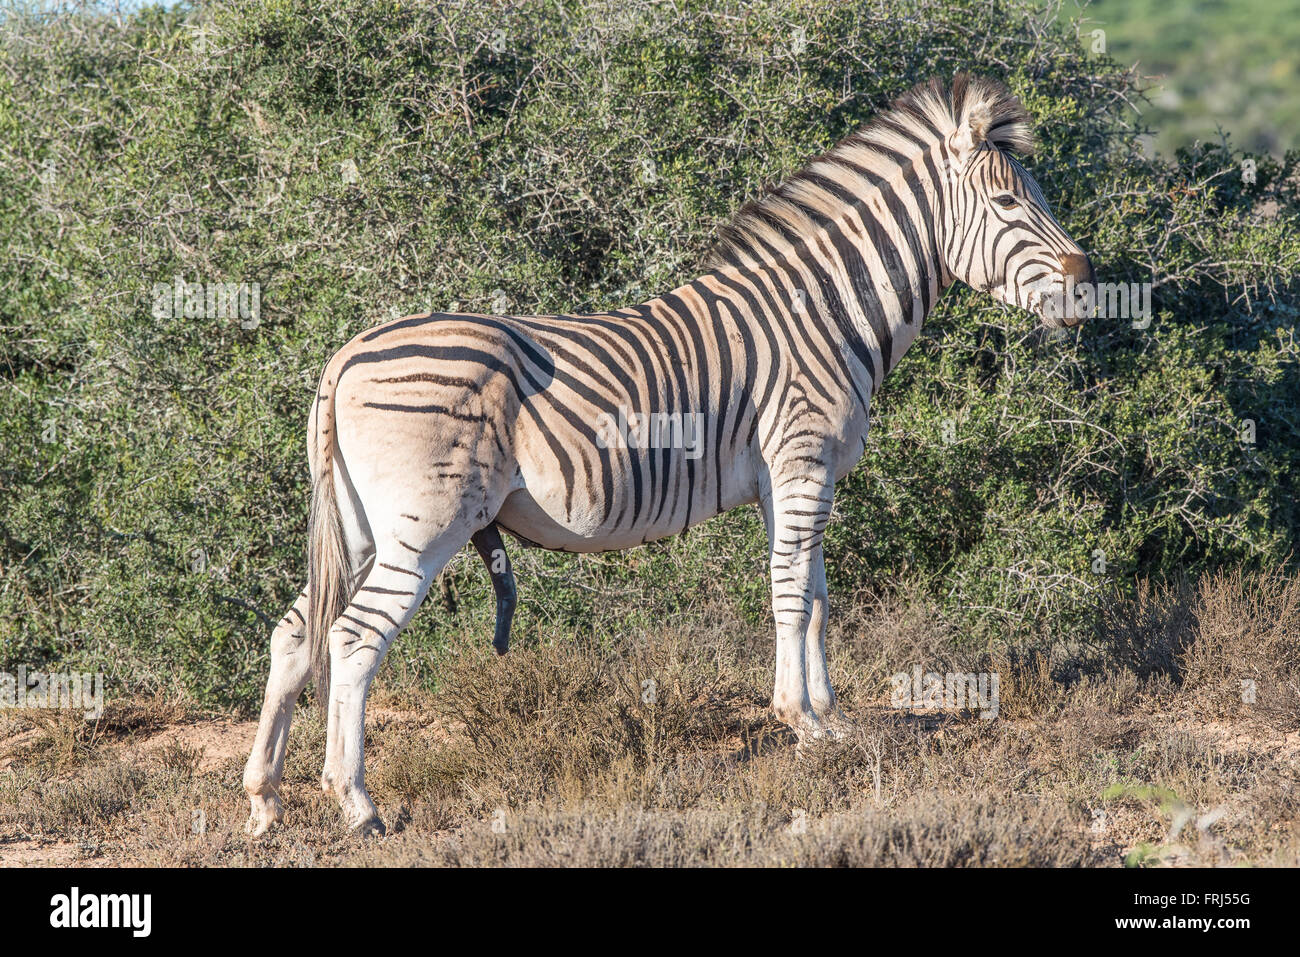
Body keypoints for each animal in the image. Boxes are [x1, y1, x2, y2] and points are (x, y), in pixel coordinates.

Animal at [243, 73, 1094, 836]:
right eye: (1011, 204)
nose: (1089, 287)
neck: (826, 312)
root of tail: (345, 353)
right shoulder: (802, 460)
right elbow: (793, 593)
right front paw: (800, 721)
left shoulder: (793, 480)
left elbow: (815, 594)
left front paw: (830, 718)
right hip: (426, 522)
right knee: (353, 640)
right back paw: (356, 803)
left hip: (362, 522)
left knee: (294, 634)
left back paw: (265, 799)